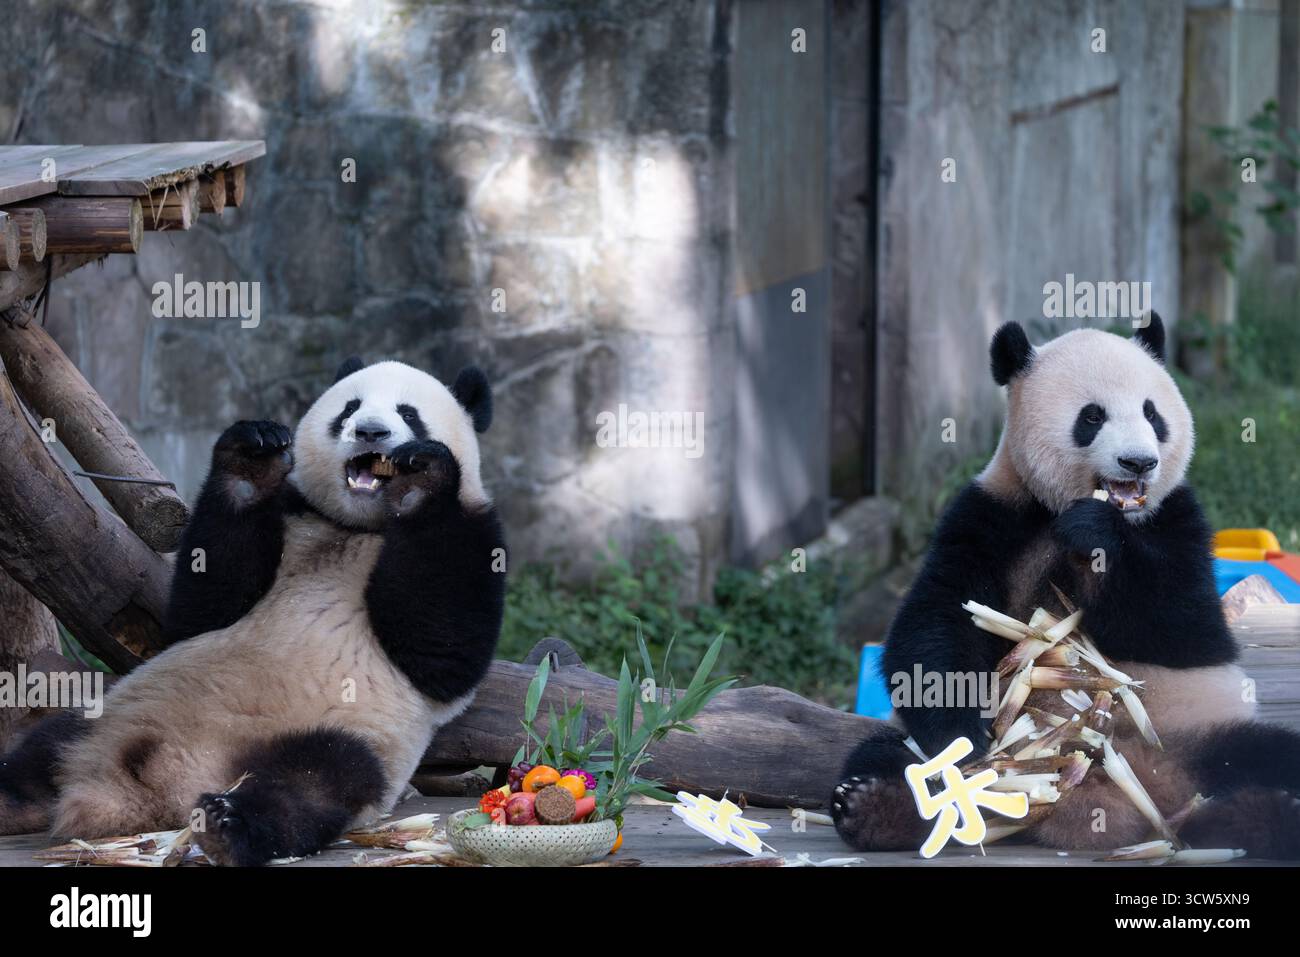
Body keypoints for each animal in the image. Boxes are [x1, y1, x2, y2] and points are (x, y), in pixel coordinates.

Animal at [0, 358, 505, 866]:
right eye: (350, 408)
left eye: (409, 413)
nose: (370, 431)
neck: (356, 526)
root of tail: (142, 796)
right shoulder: (291, 516)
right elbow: (200, 610)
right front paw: (251, 456)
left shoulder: (478, 535)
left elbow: (442, 655)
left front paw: (421, 478)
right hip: (117, 708)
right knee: (45, 745)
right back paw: (14, 799)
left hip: (335, 735)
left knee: (315, 782)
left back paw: (226, 825)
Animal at [831, 315, 1300, 858]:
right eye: (1092, 416)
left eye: (1152, 413)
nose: (1139, 462)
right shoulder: (991, 514)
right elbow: (937, 621)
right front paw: (963, 732)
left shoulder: (1179, 519)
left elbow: (1181, 624)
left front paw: (1097, 535)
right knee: (893, 759)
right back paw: (876, 807)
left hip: (1195, 734)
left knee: (1267, 755)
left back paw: (1272, 814)